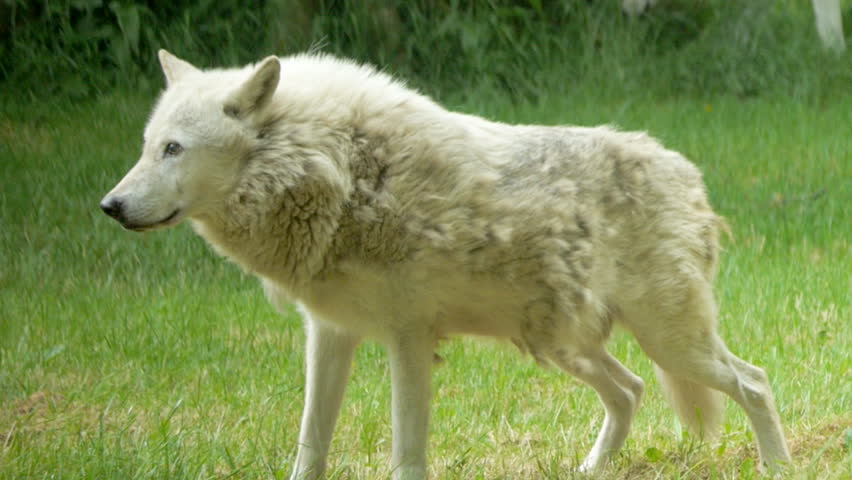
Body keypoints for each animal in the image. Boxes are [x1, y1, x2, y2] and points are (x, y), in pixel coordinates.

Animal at [100, 50, 791, 479]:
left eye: (174, 149)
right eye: (146, 147)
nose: (110, 206)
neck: (339, 172)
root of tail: (686, 171)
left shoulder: (408, 339)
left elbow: (407, 456)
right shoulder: (329, 335)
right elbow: (309, 450)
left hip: (670, 344)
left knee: (753, 381)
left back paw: (779, 467)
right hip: (568, 347)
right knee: (631, 391)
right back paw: (589, 471)